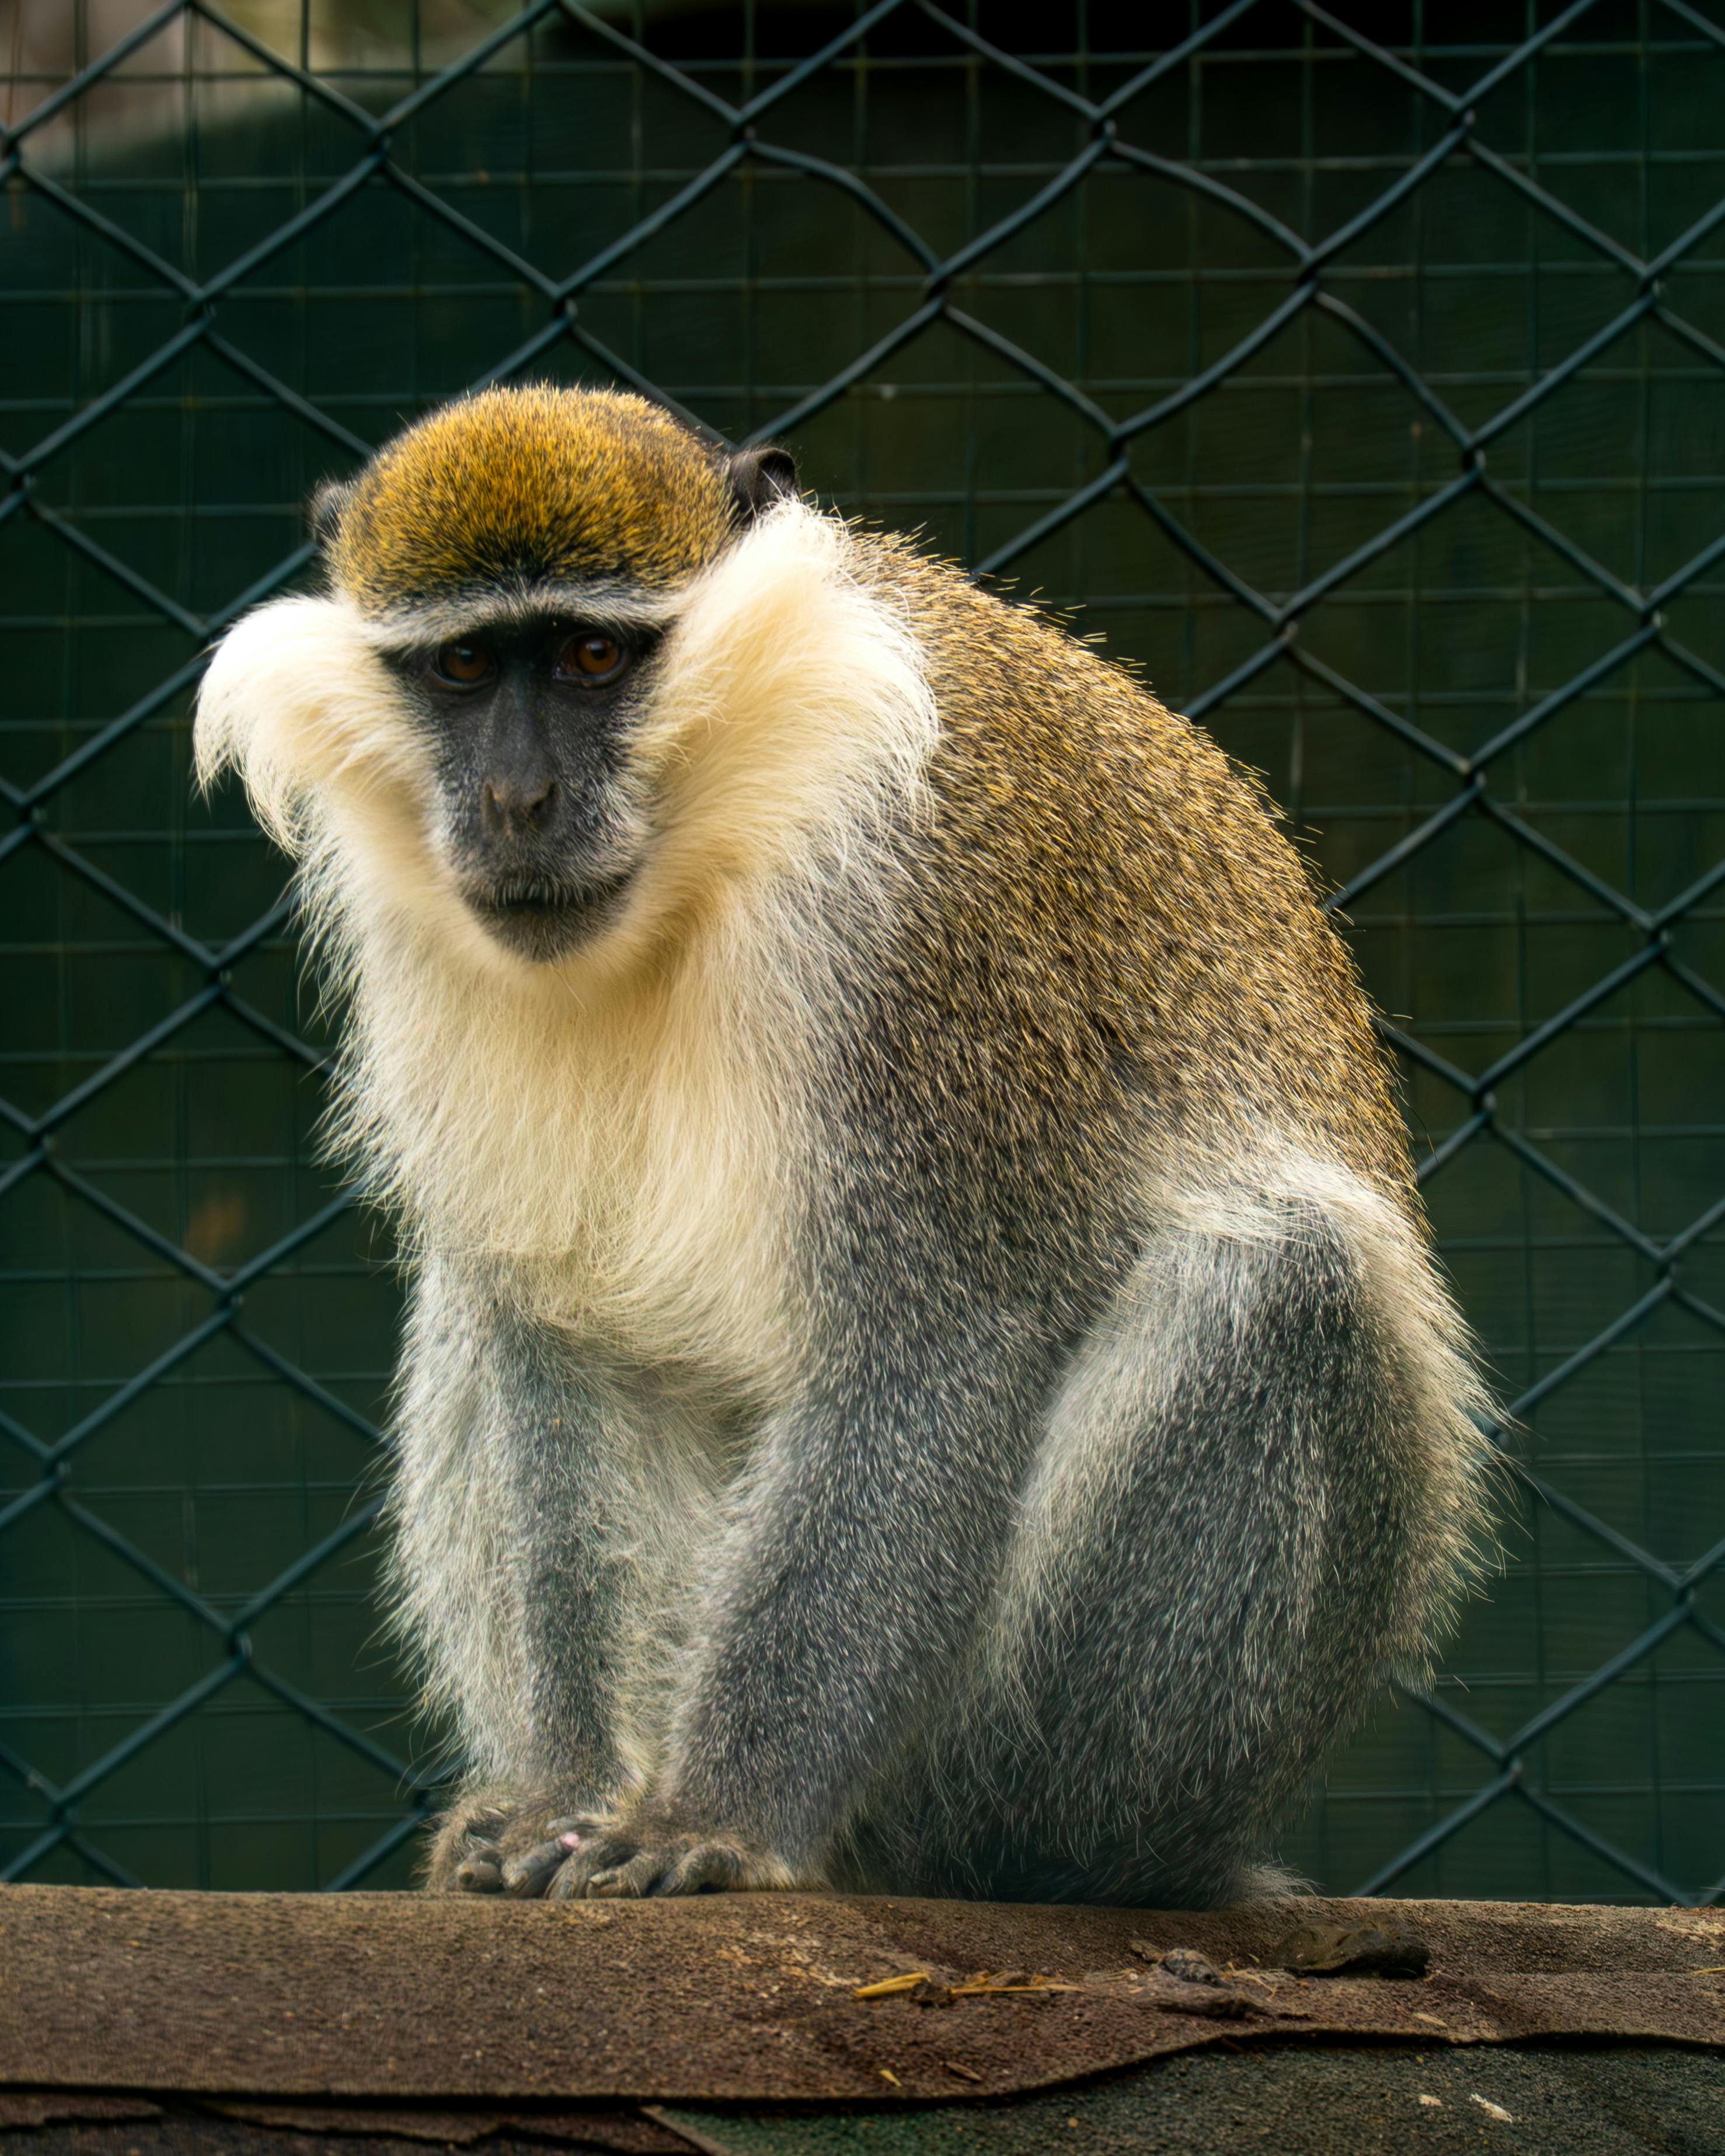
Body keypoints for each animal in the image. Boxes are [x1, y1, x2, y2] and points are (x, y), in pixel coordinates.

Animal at [193, 384, 1493, 1909]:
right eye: (461, 667)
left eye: (589, 656)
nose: (514, 801)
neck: (717, 833)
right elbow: (554, 1328)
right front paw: (563, 1796)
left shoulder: (926, 923)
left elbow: (928, 1342)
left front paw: (714, 1812)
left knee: (1292, 1280)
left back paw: (1026, 1850)